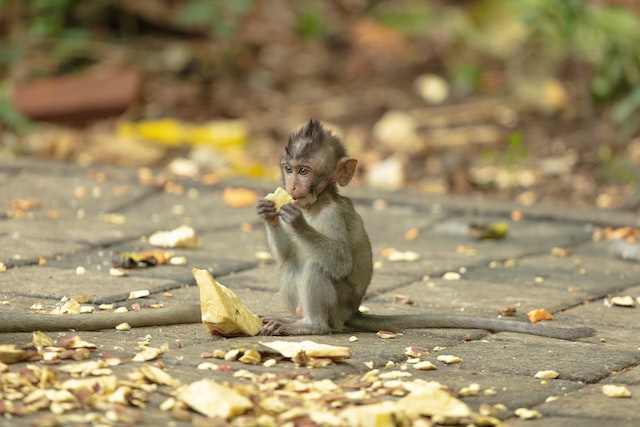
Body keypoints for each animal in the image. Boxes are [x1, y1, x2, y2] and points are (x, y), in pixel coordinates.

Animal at [256, 119, 595, 340]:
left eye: (304, 171)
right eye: (288, 169)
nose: (291, 187)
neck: (316, 204)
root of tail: (353, 312)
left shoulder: (333, 215)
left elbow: (340, 261)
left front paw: (295, 220)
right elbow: (286, 254)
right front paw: (269, 213)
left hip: (338, 308)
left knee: (315, 266)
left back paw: (311, 326)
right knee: (292, 263)